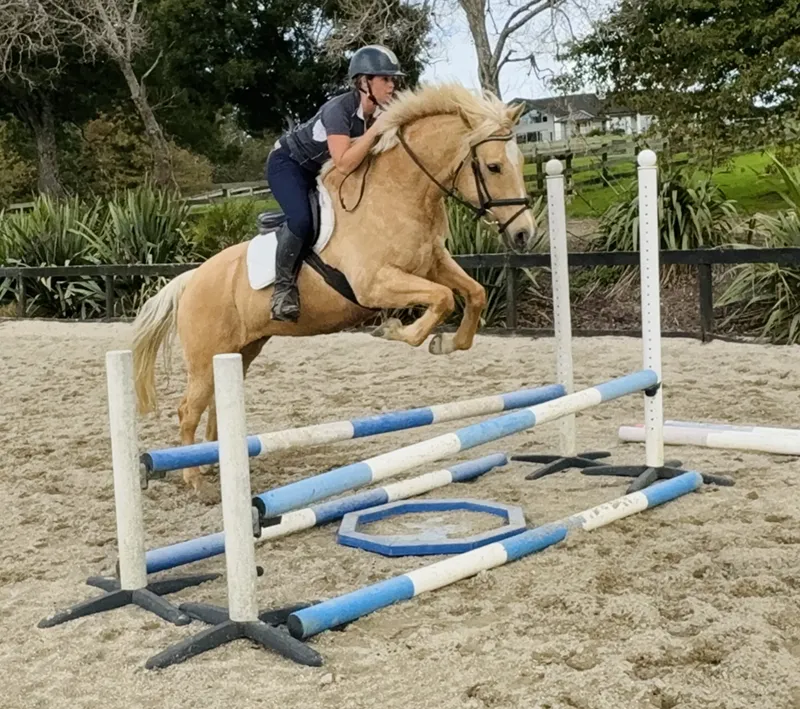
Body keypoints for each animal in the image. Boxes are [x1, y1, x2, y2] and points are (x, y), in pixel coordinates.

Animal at [131, 82, 539, 503]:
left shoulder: (432, 264)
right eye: (493, 166)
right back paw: (196, 480)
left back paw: (215, 464)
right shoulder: (375, 284)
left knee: (215, 406)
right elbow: (441, 299)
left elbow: (474, 293)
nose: (524, 234)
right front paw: (394, 330)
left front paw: (445, 343)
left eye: (519, 160)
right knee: (188, 408)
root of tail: (191, 279)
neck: (398, 193)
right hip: (204, 357)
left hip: (240, 351)